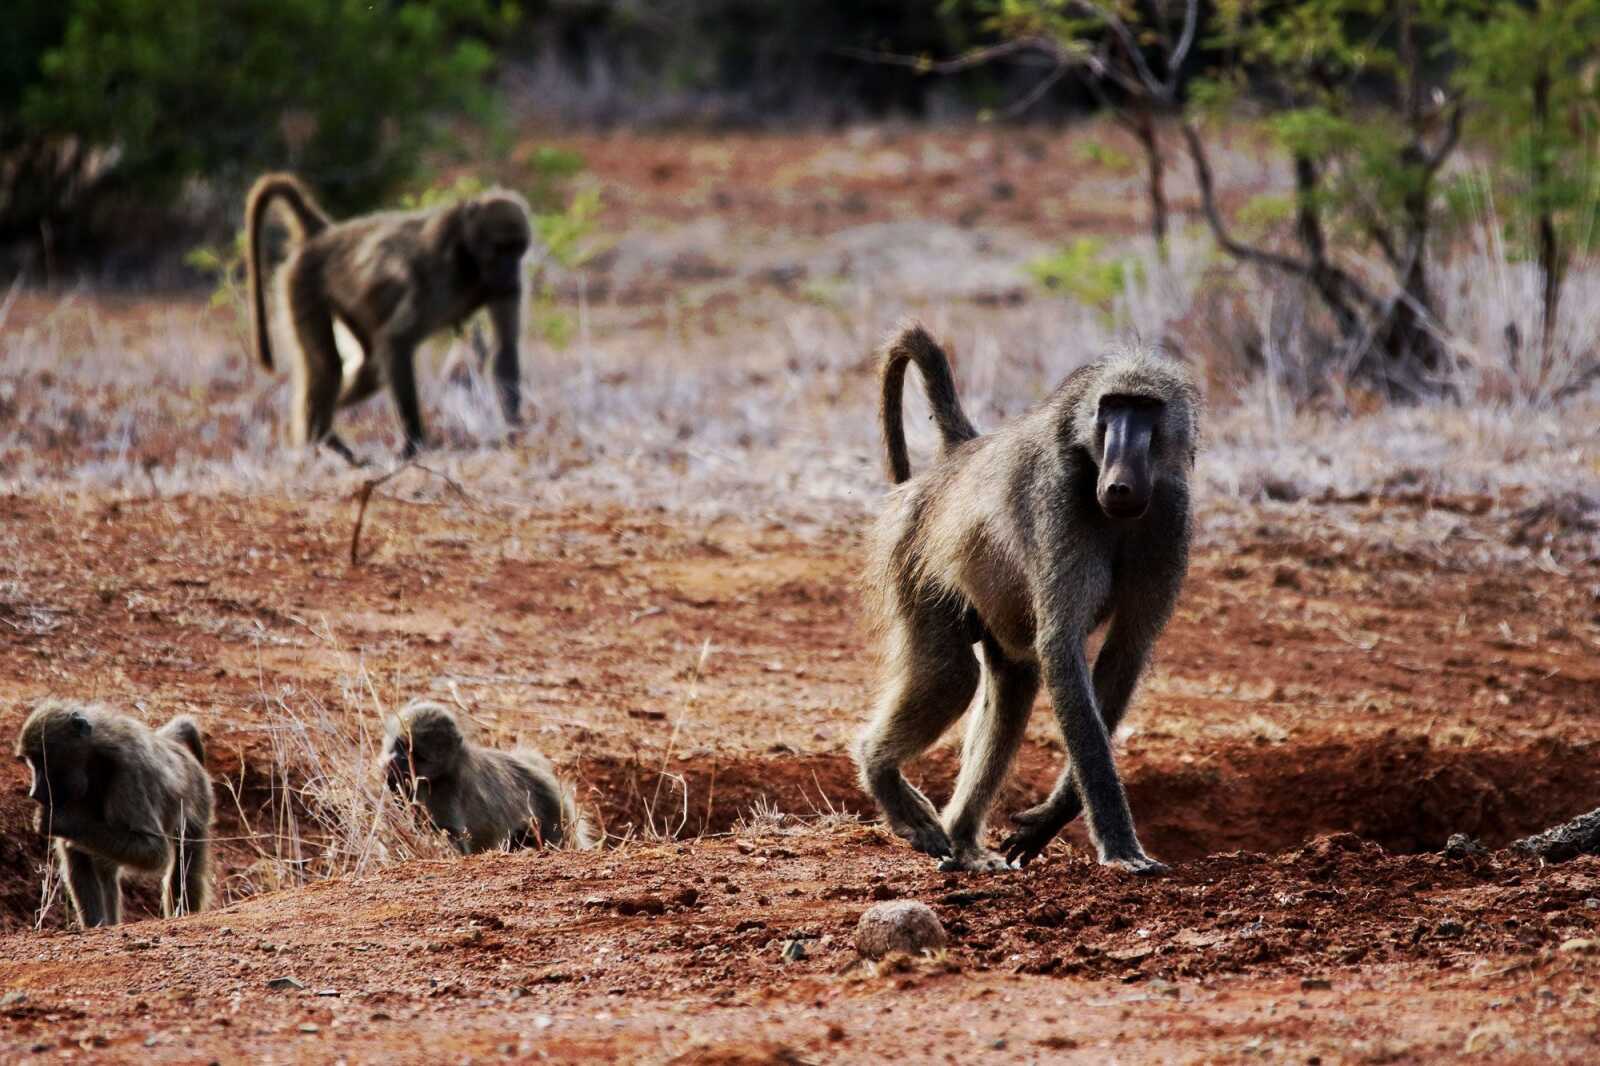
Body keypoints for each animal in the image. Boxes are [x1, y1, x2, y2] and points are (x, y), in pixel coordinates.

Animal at [14, 700, 214, 927]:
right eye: (32, 761)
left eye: (43, 761)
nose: (35, 793)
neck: (93, 759)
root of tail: (173, 747)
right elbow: (79, 858)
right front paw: (96, 925)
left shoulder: (131, 773)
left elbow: (153, 851)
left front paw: (60, 821)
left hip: (198, 799)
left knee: (184, 867)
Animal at [245, 172, 533, 464]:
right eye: (500, 248)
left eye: (518, 249)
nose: (510, 272)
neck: (469, 258)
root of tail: (323, 234)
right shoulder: (437, 271)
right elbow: (397, 340)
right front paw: (412, 445)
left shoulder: (504, 288)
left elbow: (504, 348)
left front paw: (513, 433)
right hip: (302, 285)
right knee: (328, 366)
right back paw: (321, 443)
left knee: (368, 370)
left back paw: (315, 438)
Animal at [381, 700, 591, 854]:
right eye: (400, 745)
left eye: (417, 757)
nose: (394, 762)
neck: (447, 767)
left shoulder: (446, 792)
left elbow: (452, 837)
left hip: (554, 813)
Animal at [854, 321, 1200, 875]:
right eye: (1112, 407)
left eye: (1145, 409)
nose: (1119, 484)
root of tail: (957, 461)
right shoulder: (1056, 502)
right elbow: (1061, 646)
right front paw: (1120, 845)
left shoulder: (1171, 512)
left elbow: (1124, 654)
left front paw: (1049, 819)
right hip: (917, 555)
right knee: (953, 676)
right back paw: (884, 777)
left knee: (1013, 685)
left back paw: (963, 842)